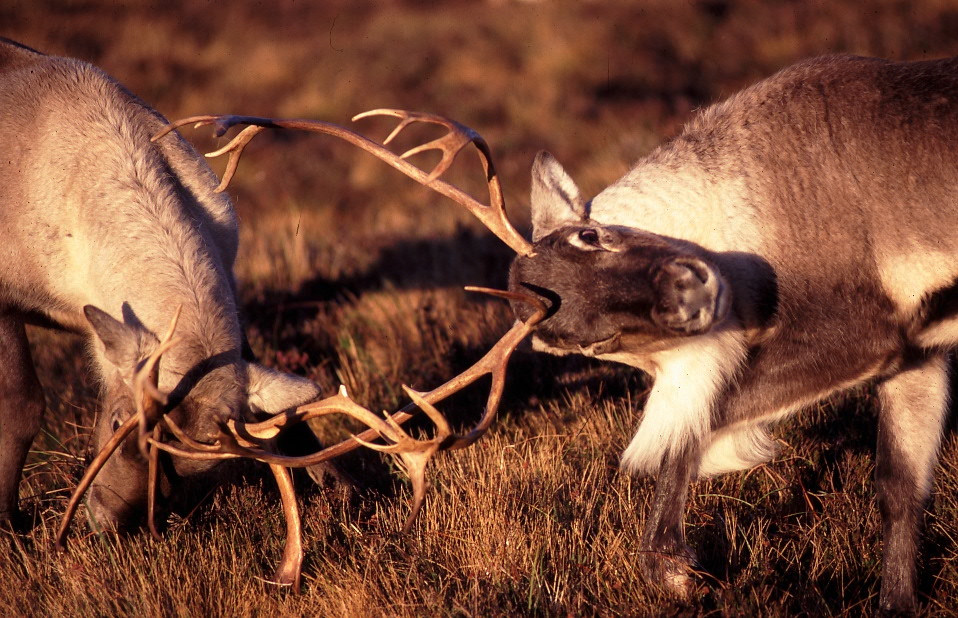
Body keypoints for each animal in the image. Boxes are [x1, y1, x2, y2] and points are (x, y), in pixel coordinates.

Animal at [507, 54, 958, 614]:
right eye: (588, 341)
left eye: (589, 235)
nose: (688, 292)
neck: (741, 201)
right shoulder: (918, 351)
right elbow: (899, 489)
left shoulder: (869, 336)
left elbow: (701, 420)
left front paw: (673, 565)